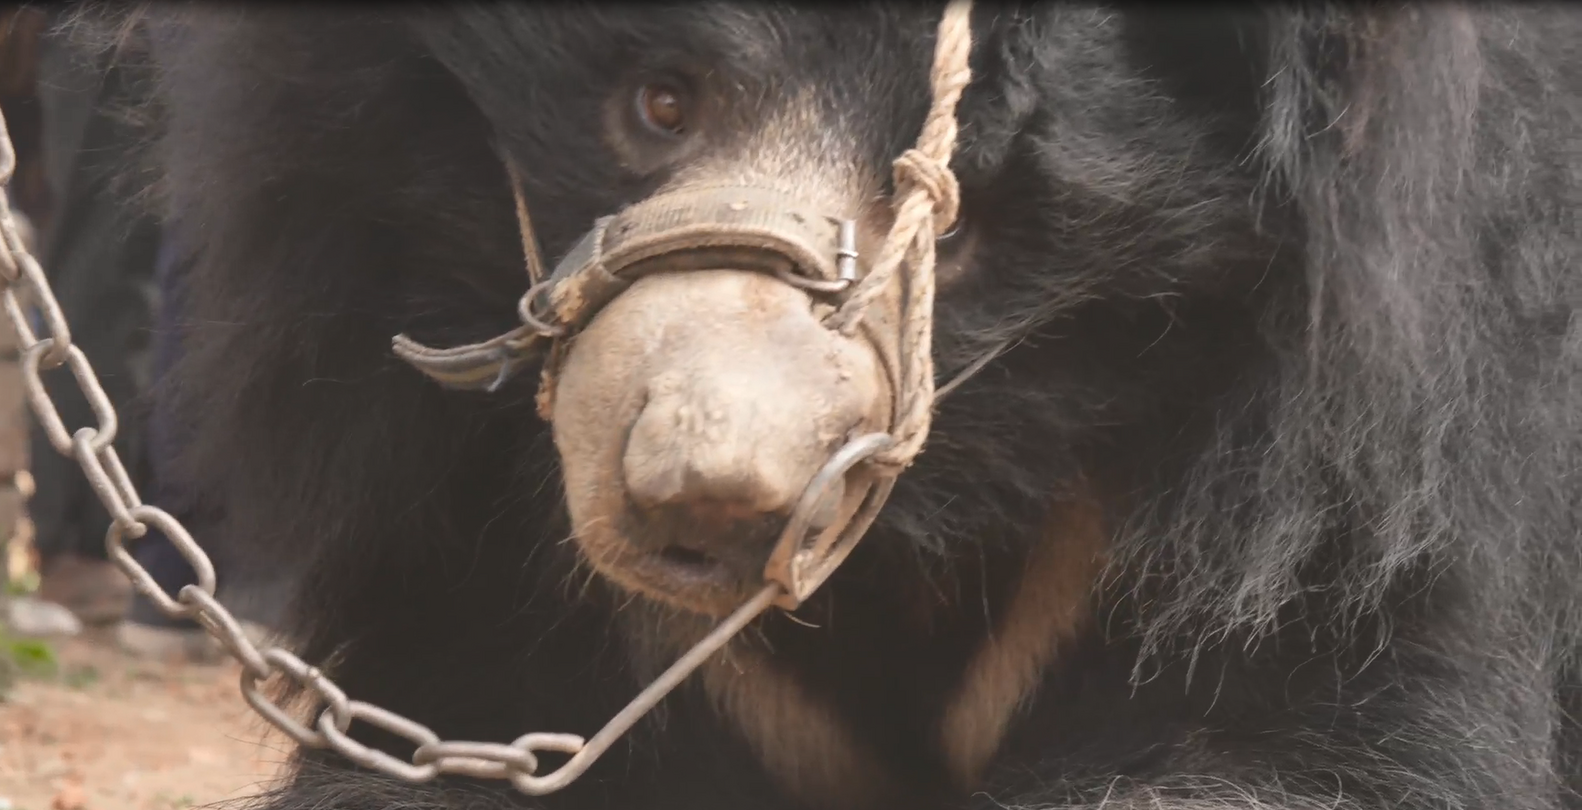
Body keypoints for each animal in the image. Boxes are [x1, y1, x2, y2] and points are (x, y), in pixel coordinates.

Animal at [59, 2, 1582, 809]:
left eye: (961, 220)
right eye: (659, 103)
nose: (706, 499)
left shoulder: (1337, 469)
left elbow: (1302, 733)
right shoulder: (465, 521)